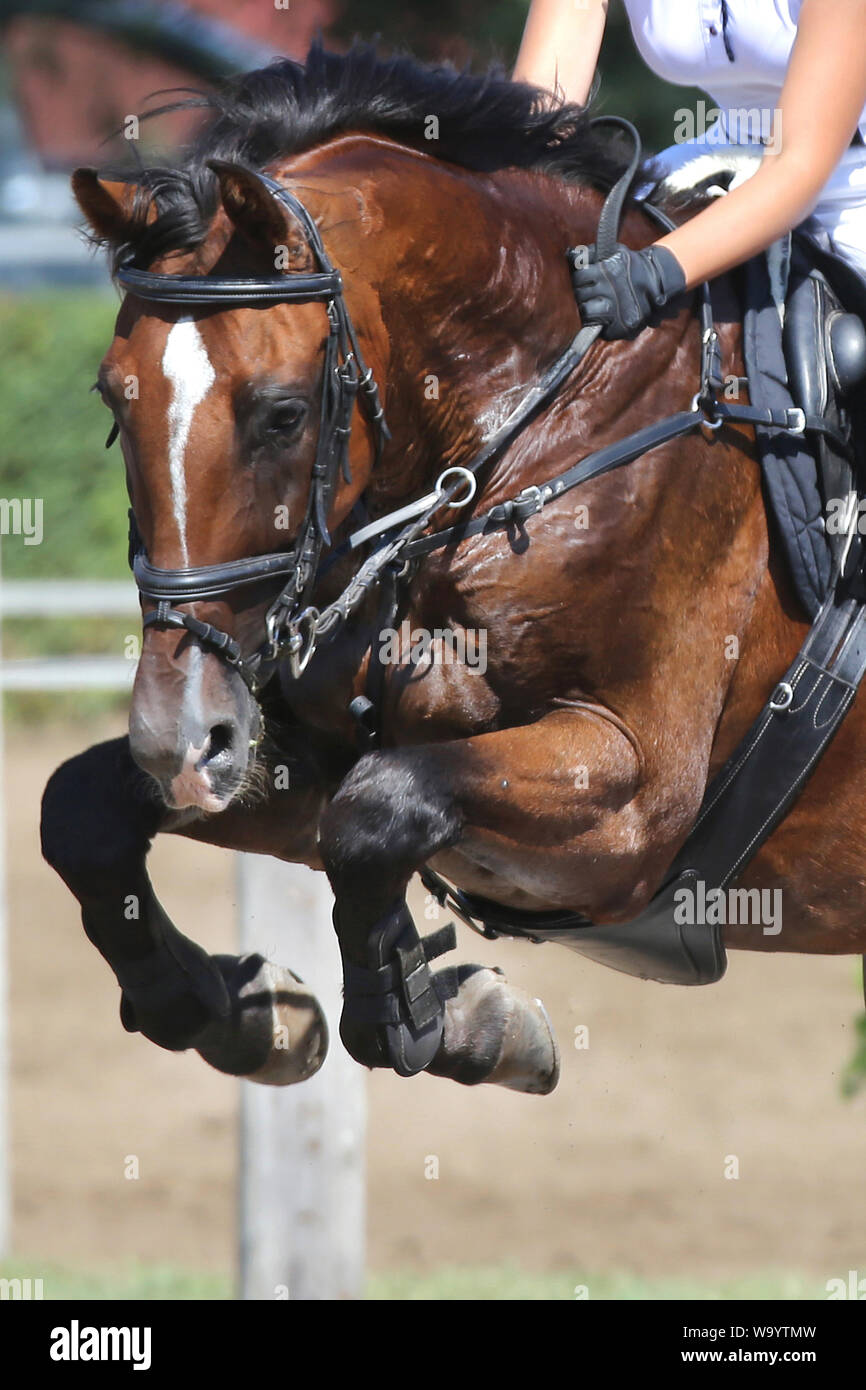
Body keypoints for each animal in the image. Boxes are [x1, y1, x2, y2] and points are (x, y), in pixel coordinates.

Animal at [39, 40, 866, 1099]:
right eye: (114, 399)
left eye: (281, 414)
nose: (180, 739)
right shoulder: (305, 754)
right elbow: (82, 810)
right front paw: (238, 1012)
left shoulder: (635, 807)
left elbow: (376, 812)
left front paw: (443, 1018)